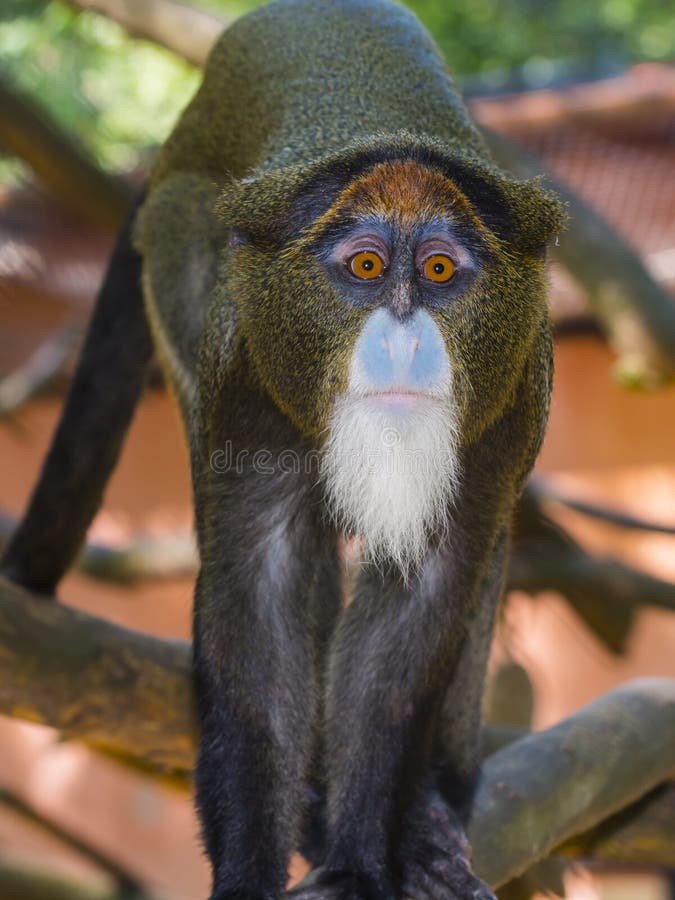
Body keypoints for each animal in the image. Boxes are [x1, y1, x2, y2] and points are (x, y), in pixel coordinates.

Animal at [1, 1, 564, 898]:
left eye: (440, 271)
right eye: (365, 266)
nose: (404, 339)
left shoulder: (513, 395)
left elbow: (422, 604)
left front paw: (366, 858)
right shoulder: (243, 370)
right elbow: (260, 594)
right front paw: (254, 869)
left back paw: (429, 815)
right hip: (180, 251)